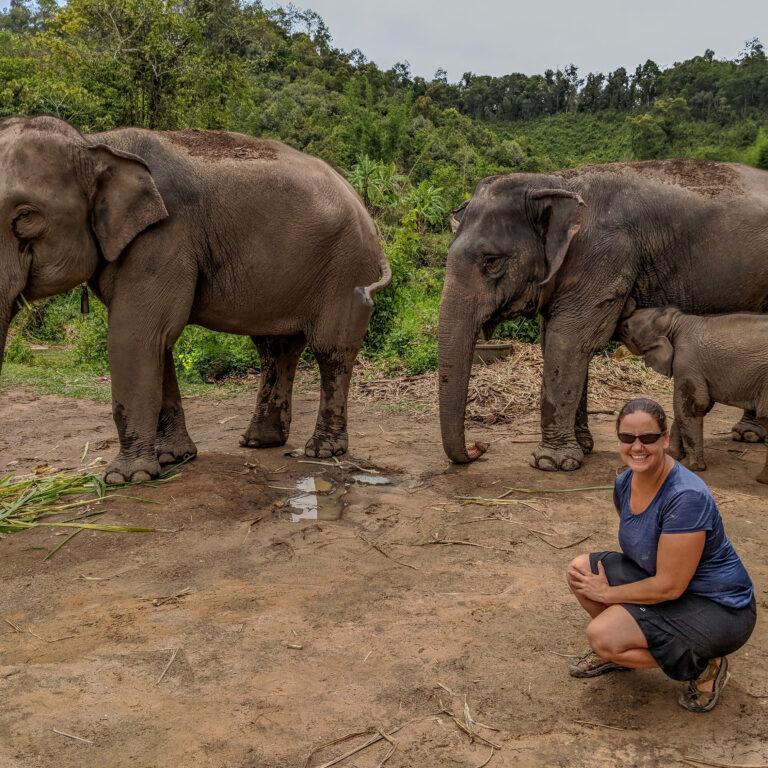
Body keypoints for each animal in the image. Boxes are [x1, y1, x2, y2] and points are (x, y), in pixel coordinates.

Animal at [0, 116, 390, 483]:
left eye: (25, 217)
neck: (95, 142)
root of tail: (361, 202)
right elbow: (158, 344)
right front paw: (173, 459)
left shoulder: (163, 238)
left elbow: (136, 337)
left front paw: (125, 478)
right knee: (274, 348)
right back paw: (259, 442)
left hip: (347, 268)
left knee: (330, 350)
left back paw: (323, 451)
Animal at [619, 306, 768, 483]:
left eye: (626, 328)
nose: (619, 323)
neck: (676, 321)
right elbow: (694, 406)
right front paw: (672, 455)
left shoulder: (686, 361)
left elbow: (693, 404)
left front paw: (693, 467)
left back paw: (762, 479)